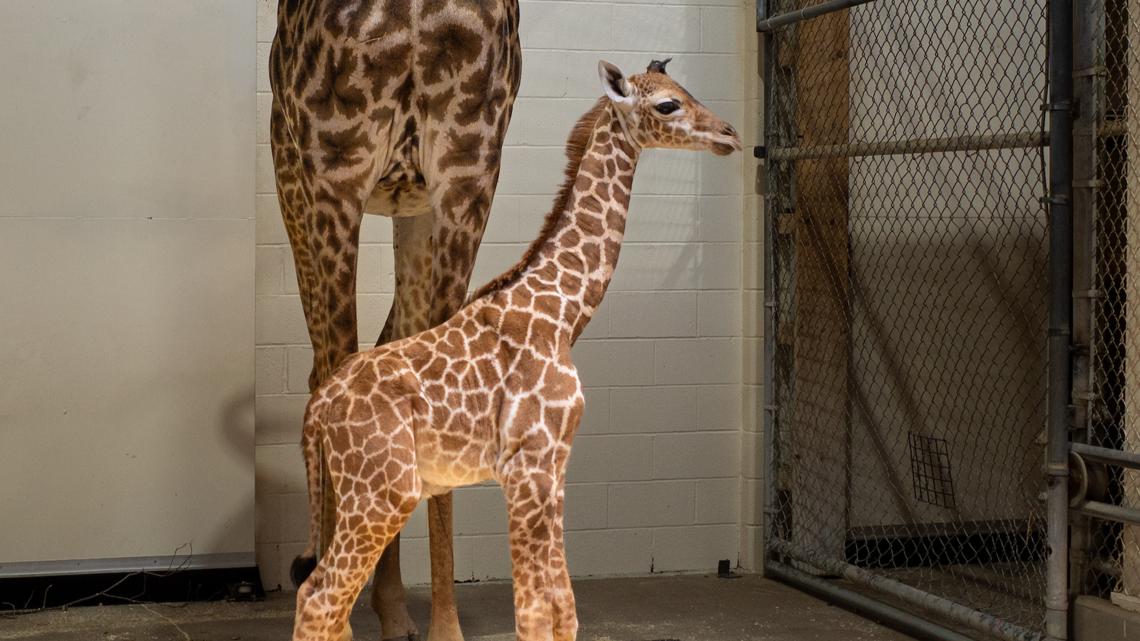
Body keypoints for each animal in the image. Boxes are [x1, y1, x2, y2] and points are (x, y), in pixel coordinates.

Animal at [268, 1, 521, 640]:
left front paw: (444, 628)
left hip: (409, 208)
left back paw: (392, 608)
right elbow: (337, 380)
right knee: (325, 371)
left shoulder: (467, 175)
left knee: (390, 359)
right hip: (292, 178)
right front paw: (329, 614)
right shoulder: (333, 169)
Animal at [290, 59, 742, 641]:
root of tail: (318, 409)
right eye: (668, 105)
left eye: (685, 90)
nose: (729, 135)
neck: (564, 312)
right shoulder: (528, 464)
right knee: (319, 597)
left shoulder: (554, 464)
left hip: (360, 494)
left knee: (327, 604)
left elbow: (562, 603)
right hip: (382, 492)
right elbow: (533, 608)